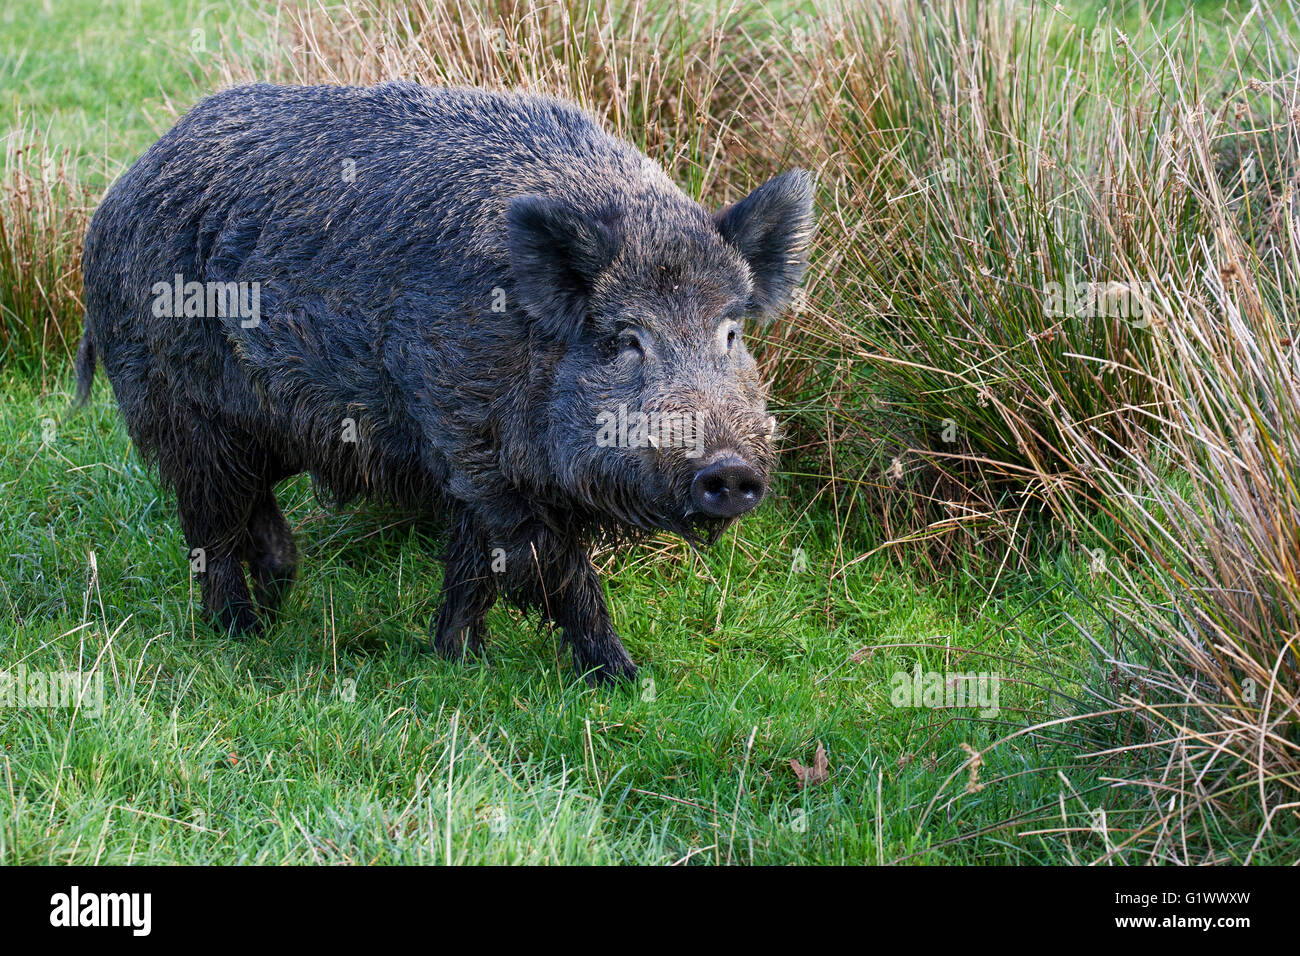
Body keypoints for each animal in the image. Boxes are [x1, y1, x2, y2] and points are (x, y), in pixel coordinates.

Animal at [77, 82, 813, 684]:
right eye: (627, 337)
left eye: (730, 331)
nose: (729, 469)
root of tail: (119, 191)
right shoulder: (474, 445)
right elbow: (556, 569)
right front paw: (623, 676)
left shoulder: (470, 467)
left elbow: (473, 567)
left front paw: (458, 657)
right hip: (179, 406)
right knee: (210, 521)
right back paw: (239, 629)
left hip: (261, 427)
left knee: (249, 506)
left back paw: (281, 592)